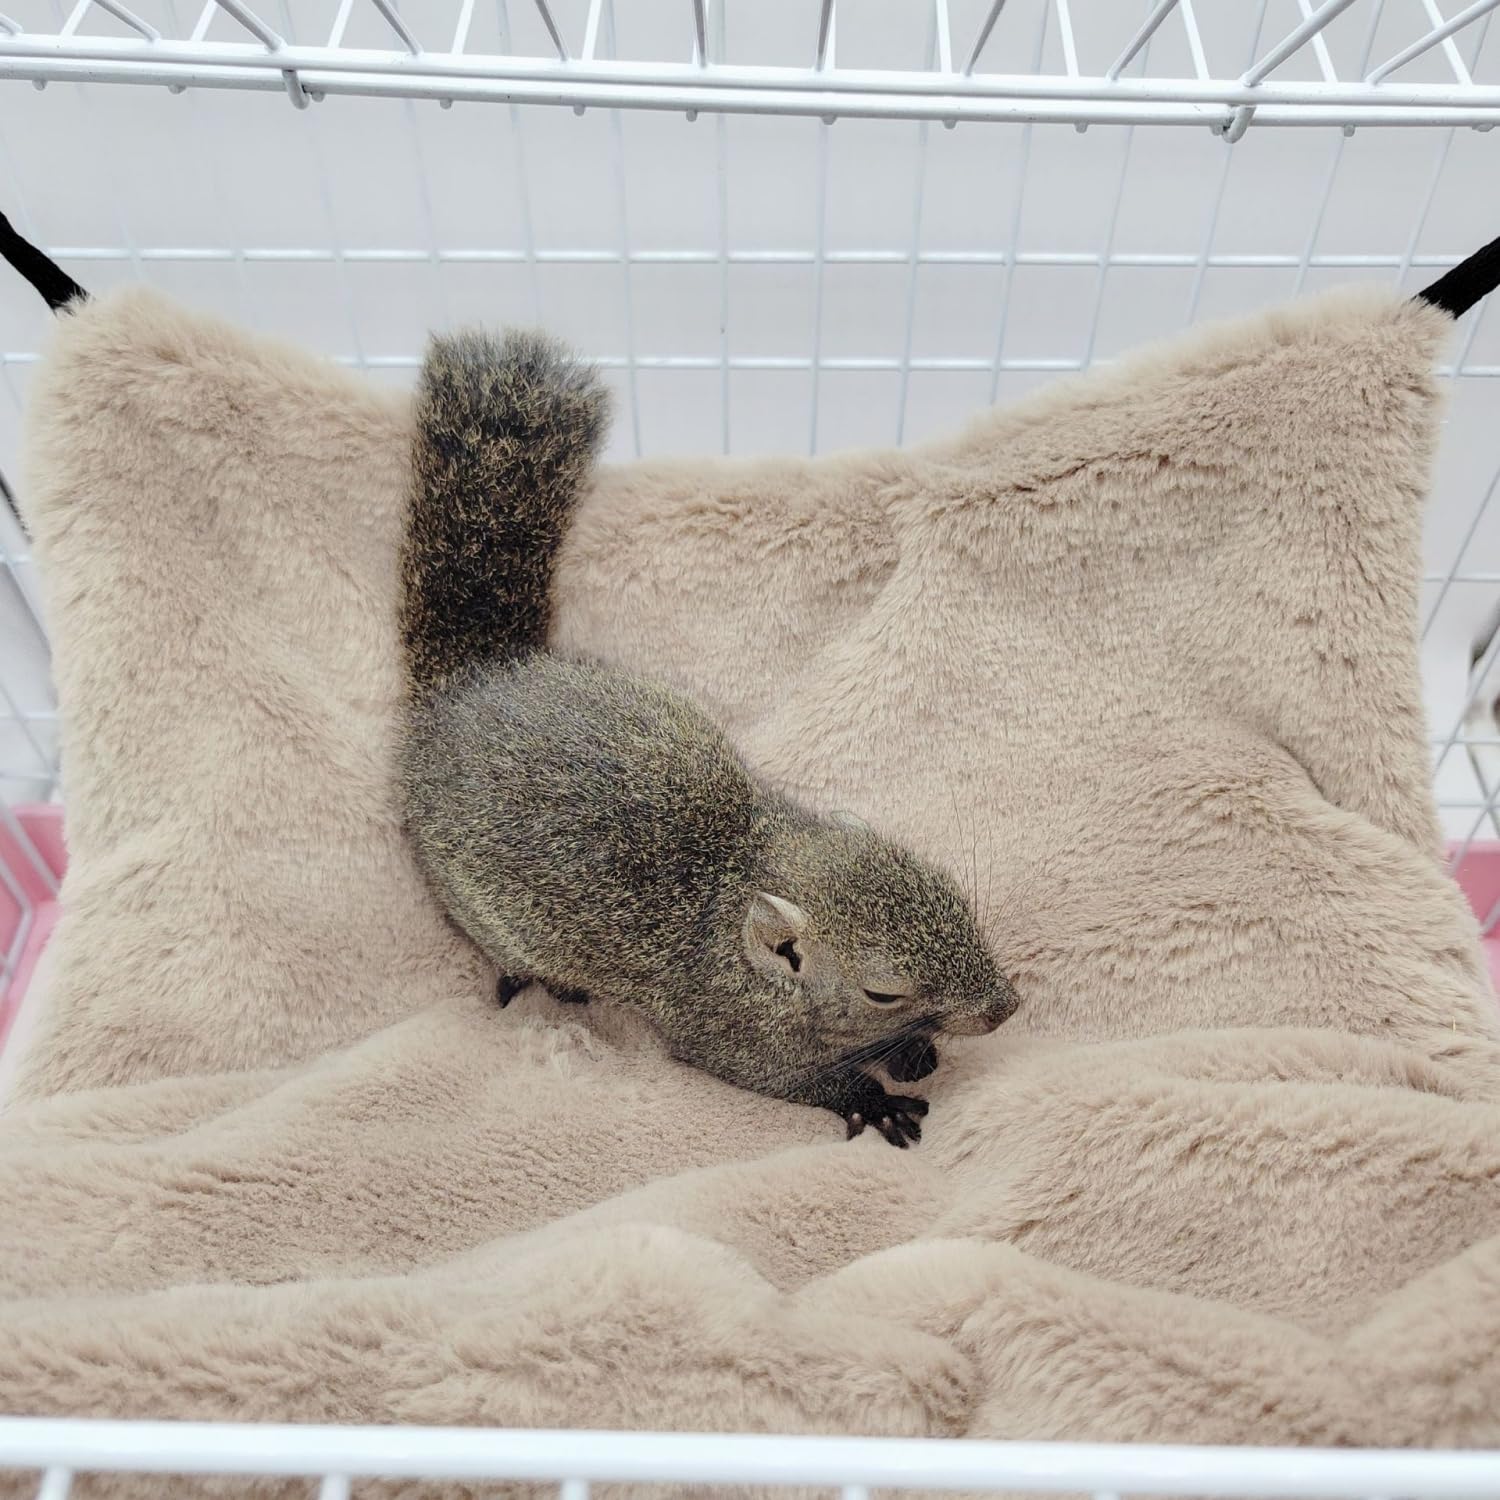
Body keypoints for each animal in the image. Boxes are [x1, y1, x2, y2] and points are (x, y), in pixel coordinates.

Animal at [398, 329, 1019, 1146]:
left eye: (953, 895)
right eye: (883, 991)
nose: (1007, 1005)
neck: (742, 879)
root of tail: (471, 682)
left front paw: (913, 1049)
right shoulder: (722, 1026)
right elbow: (788, 1074)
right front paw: (875, 1090)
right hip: (469, 899)